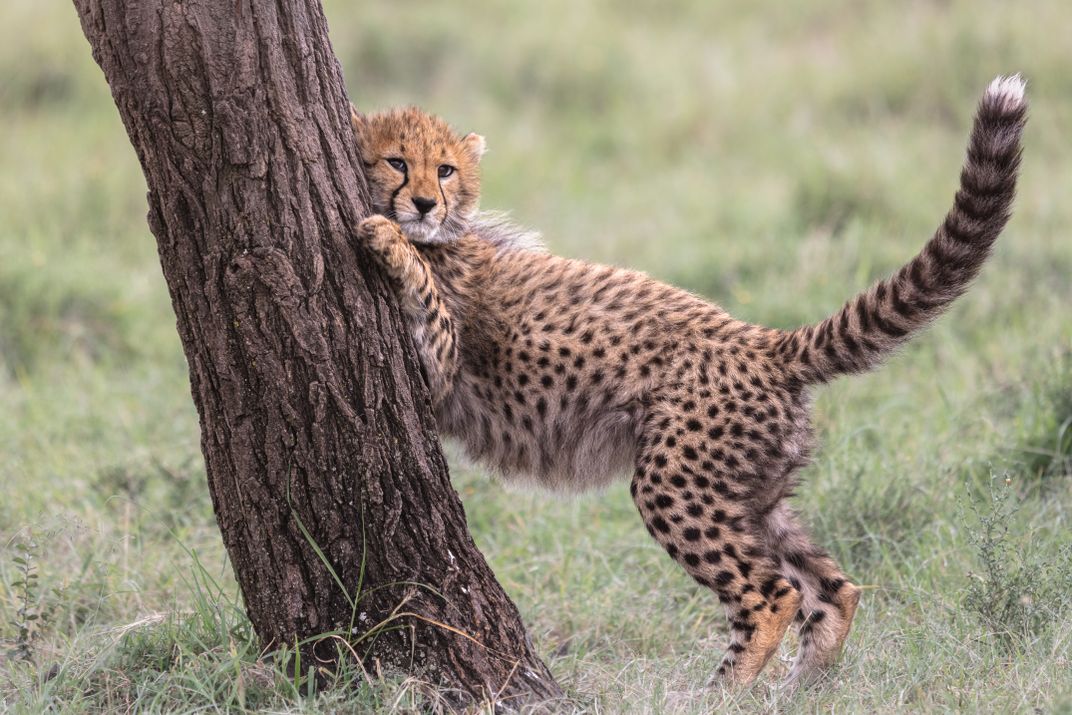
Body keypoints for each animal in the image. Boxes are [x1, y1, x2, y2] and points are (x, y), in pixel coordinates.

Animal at [350, 76, 1027, 686]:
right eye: (396, 162)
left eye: (445, 171)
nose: (424, 205)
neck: (446, 236)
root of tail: (764, 342)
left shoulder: (440, 363)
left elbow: (423, 290)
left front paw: (387, 237)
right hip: (754, 494)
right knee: (835, 588)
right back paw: (803, 688)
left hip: (674, 481)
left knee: (771, 595)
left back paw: (722, 693)